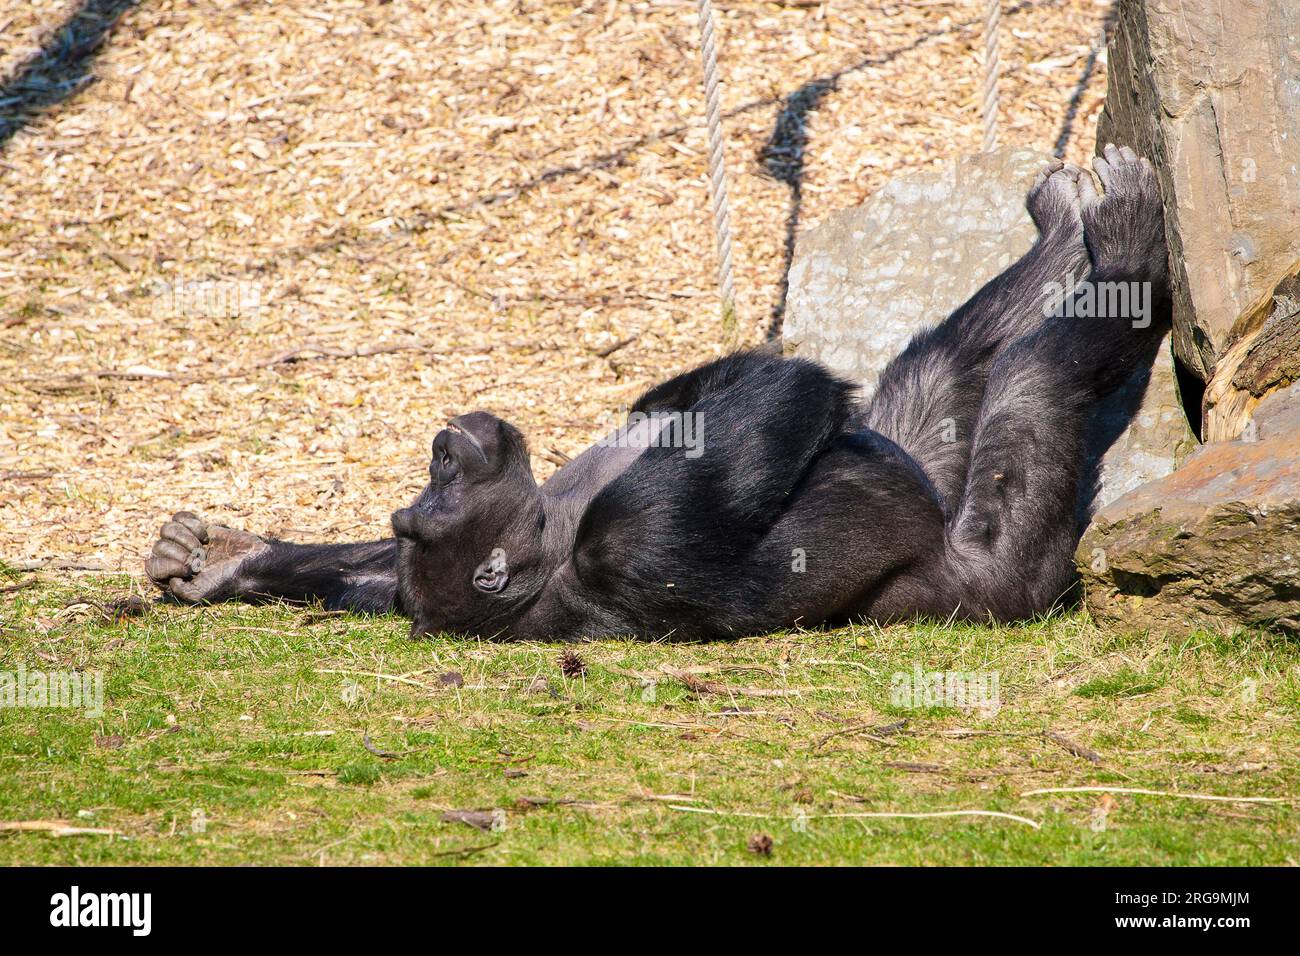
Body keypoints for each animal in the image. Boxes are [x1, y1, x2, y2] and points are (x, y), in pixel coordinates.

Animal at [146, 145, 1170, 641]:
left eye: (419, 503)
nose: (441, 450)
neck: (555, 540)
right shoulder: (635, 543)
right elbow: (778, 397)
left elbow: (371, 578)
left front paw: (224, 559)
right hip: (1004, 574)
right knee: (1036, 379)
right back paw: (1120, 248)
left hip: (931, 442)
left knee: (947, 361)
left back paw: (1061, 223)